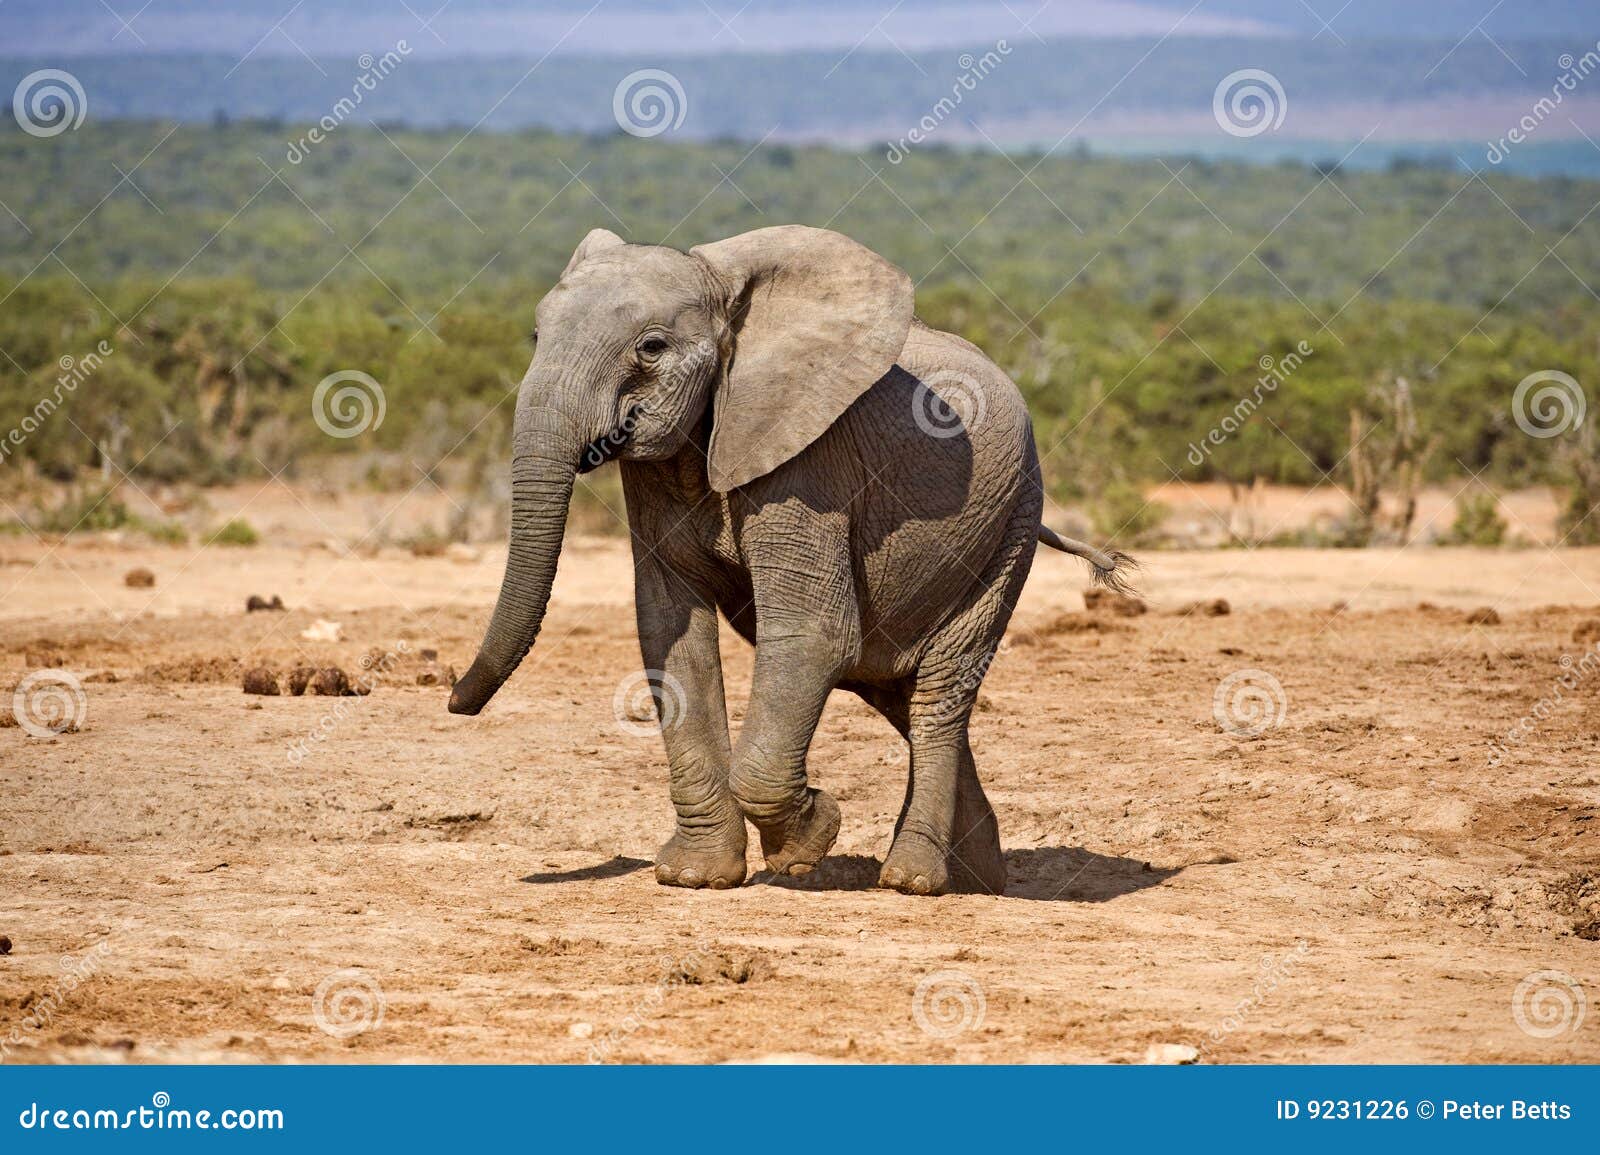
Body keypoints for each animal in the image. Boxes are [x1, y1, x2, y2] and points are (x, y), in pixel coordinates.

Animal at [448, 225, 1131, 896]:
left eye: (651, 348)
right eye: (536, 336)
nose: (455, 699)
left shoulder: (809, 460)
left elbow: (813, 635)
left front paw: (806, 845)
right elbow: (673, 635)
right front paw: (694, 877)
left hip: (1011, 520)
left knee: (939, 689)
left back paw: (915, 879)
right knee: (896, 690)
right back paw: (979, 880)